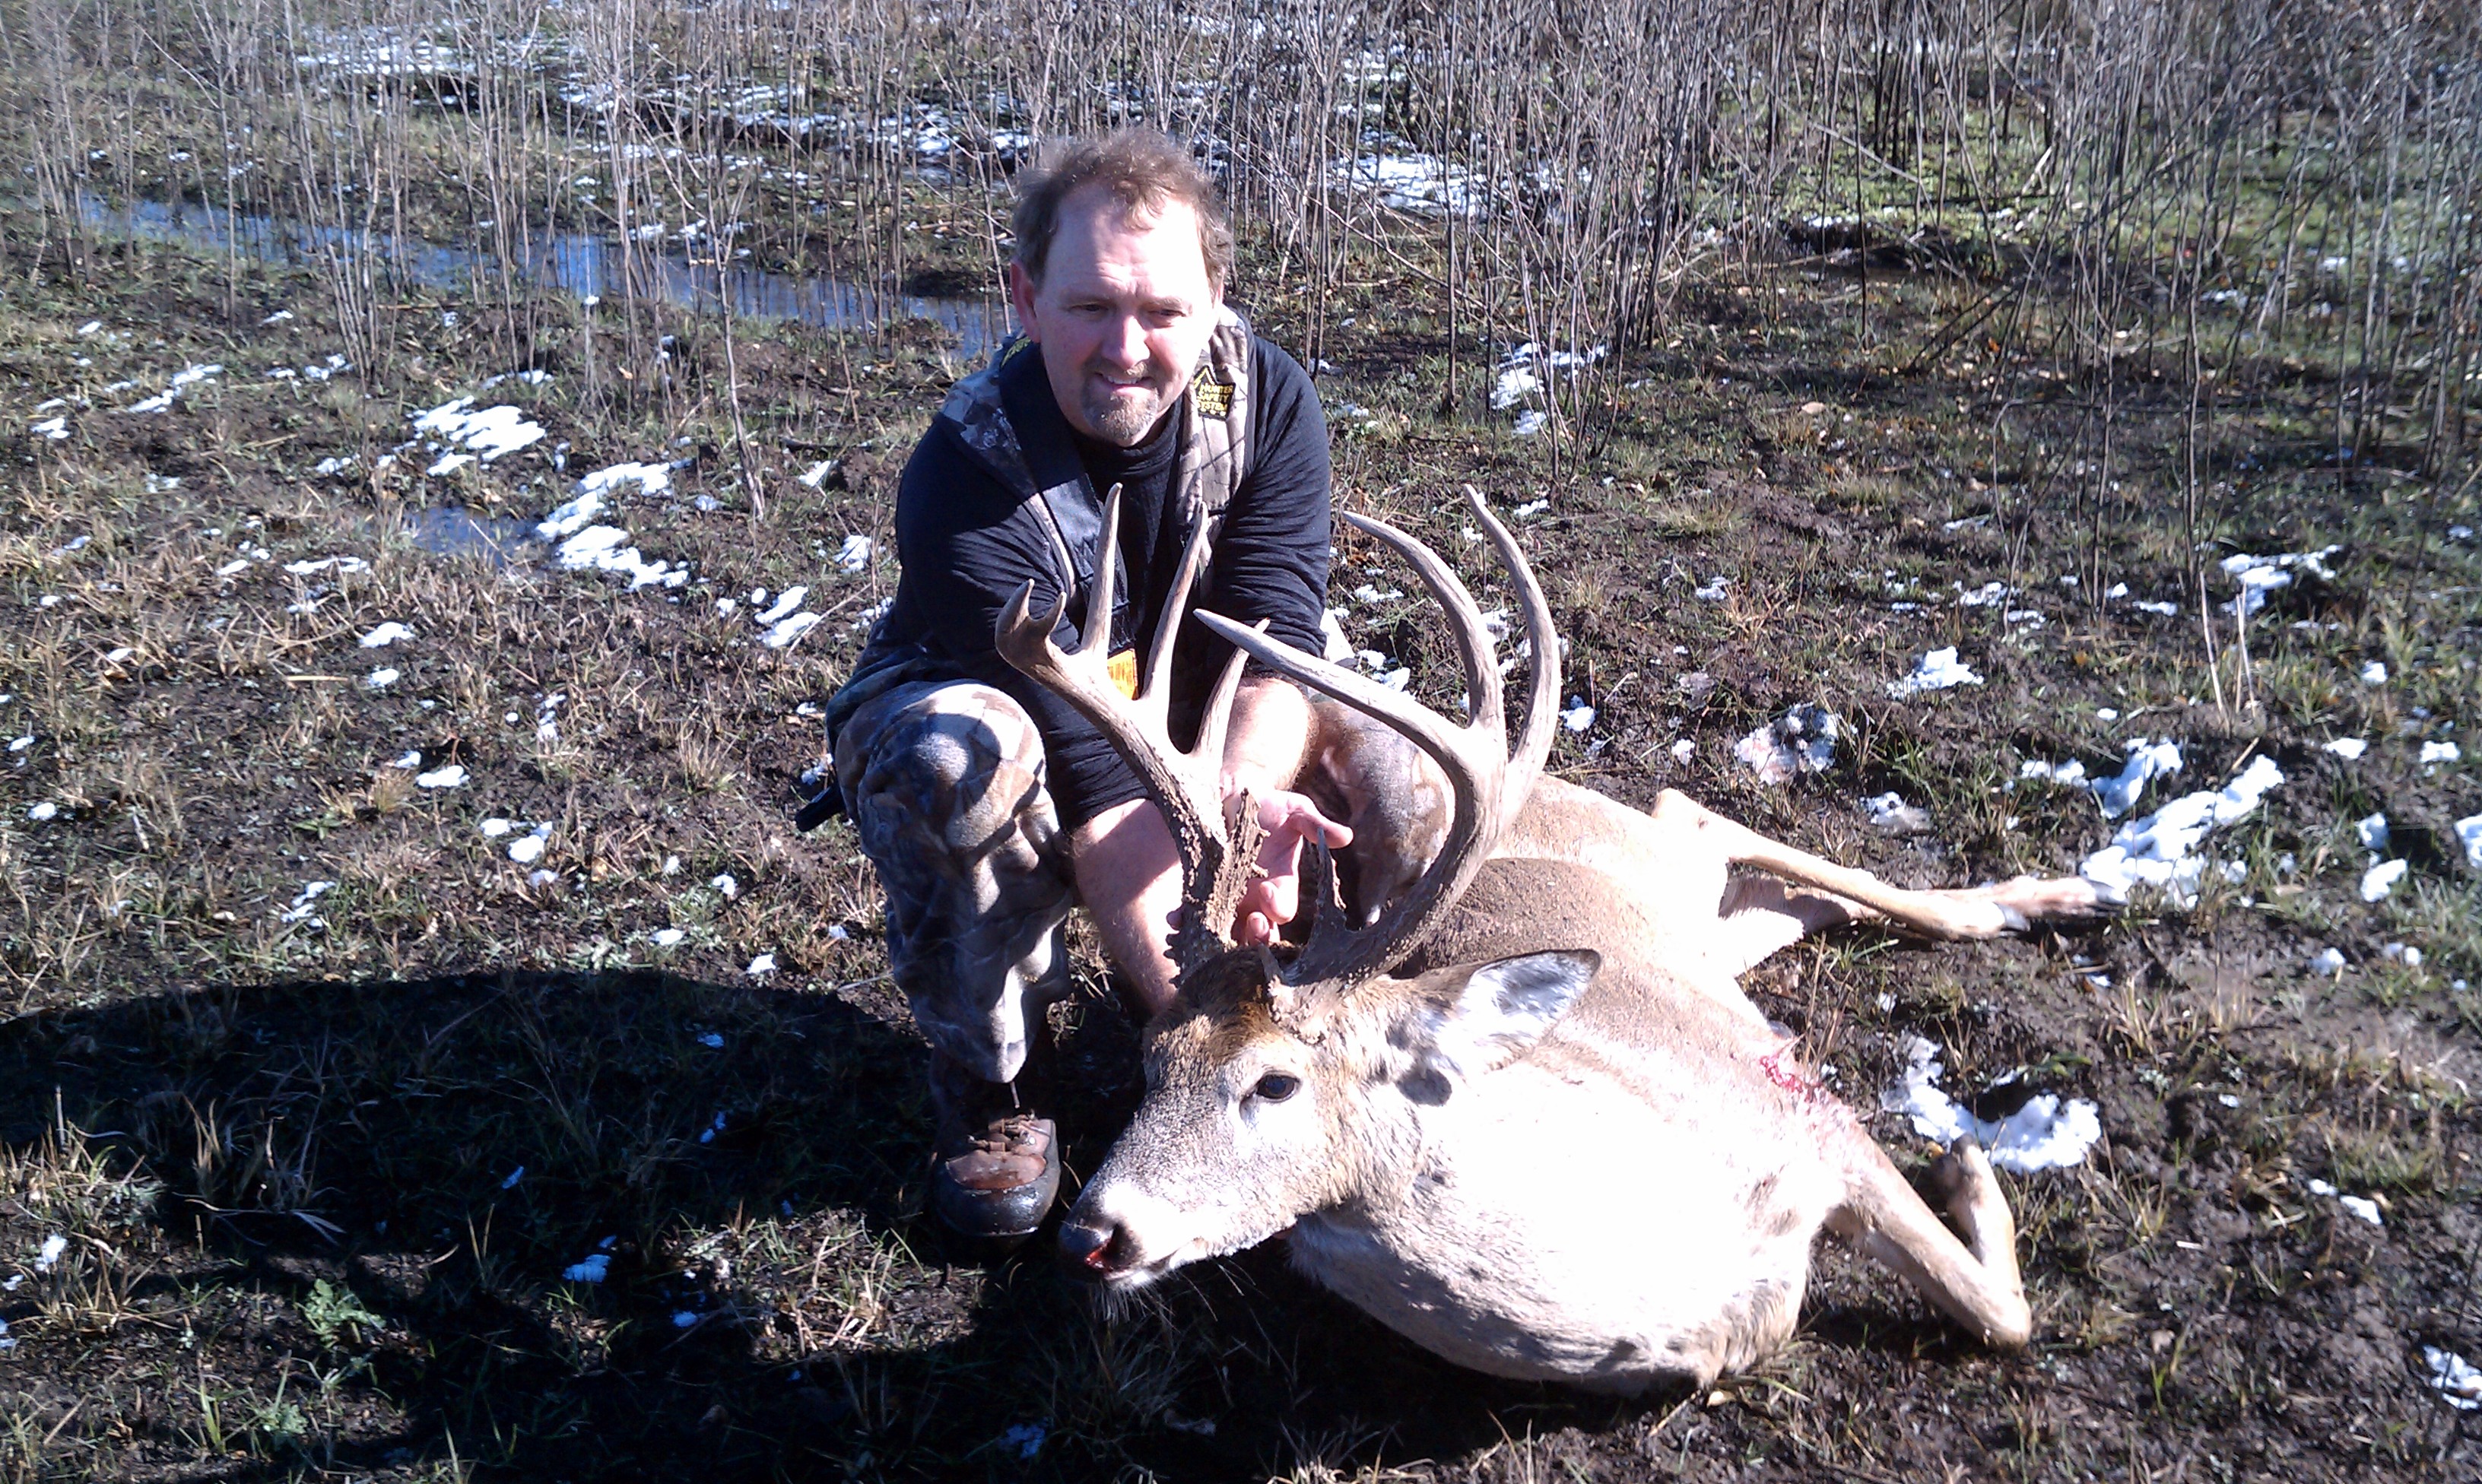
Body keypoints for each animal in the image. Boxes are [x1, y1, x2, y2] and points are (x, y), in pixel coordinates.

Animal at [993, 487, 2080, 1391]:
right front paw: (1969, 1165)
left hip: (1646, 853)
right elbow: (1998, 1311)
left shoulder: (1815, 1119)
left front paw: (1967, 1164)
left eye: (1275, 1081)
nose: (1090, 1233)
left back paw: (2053, 897)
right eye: (1152, 1059)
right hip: (1691, 930)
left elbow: (2003, 1314)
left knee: (1701, 814)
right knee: (1753, 884)